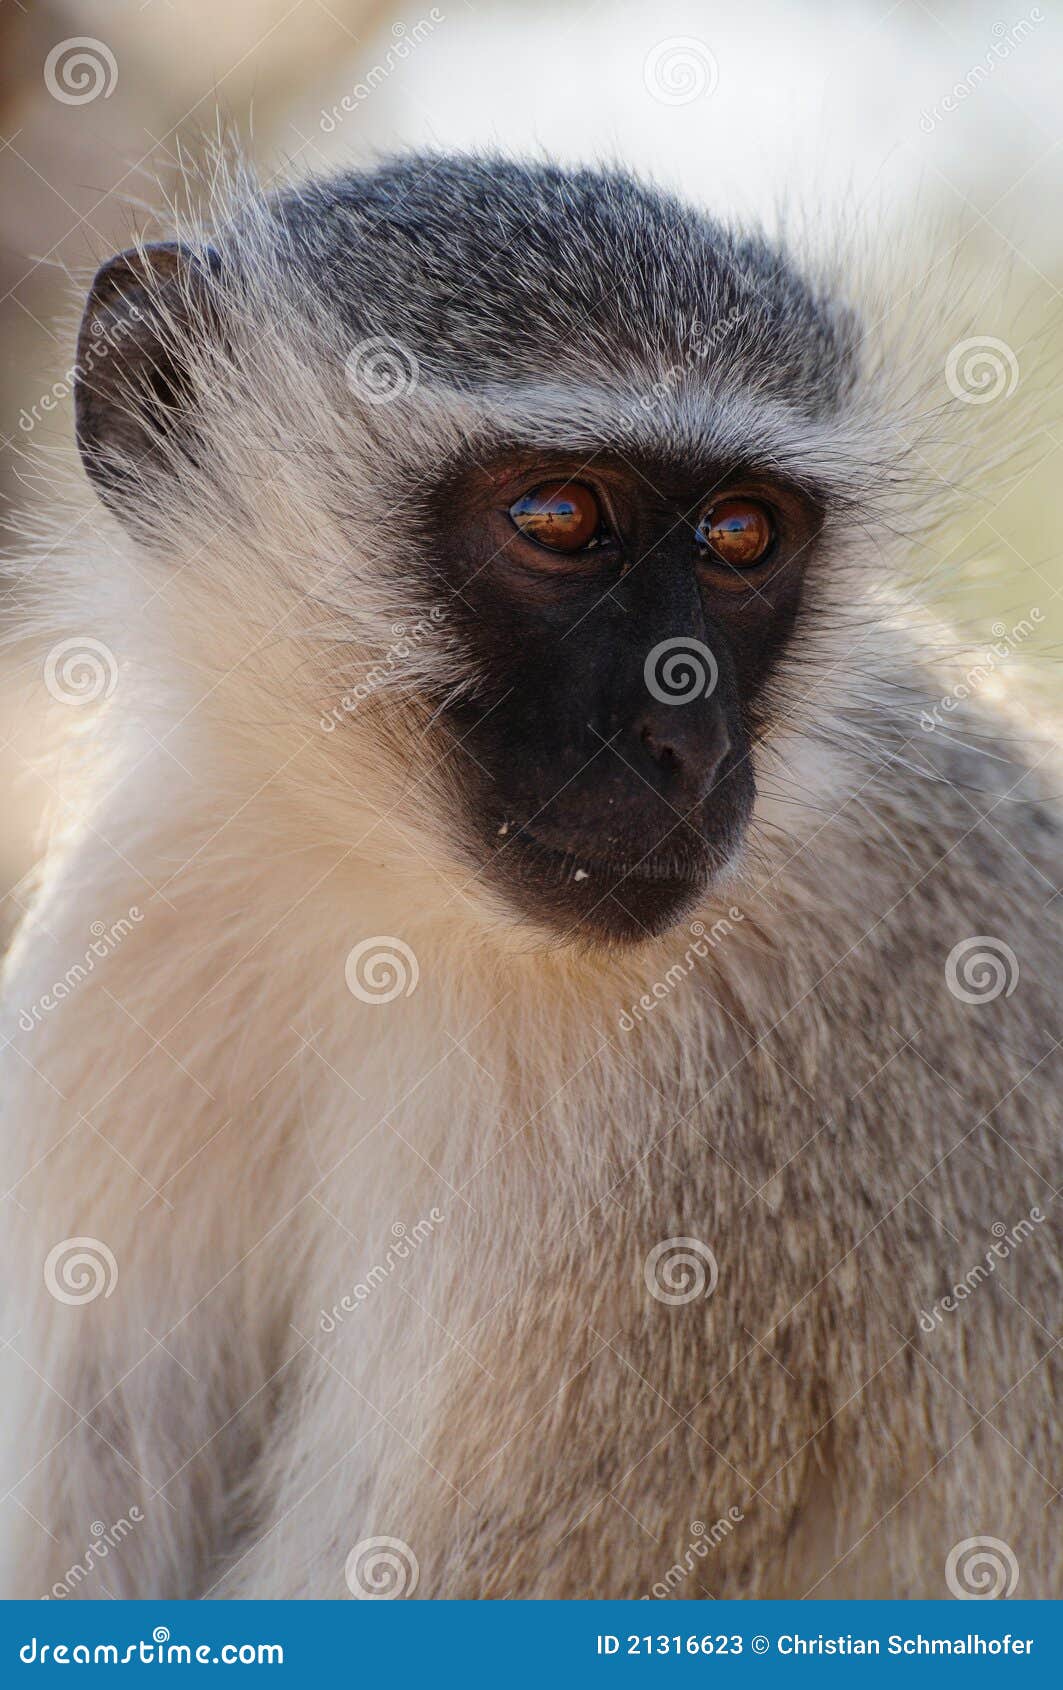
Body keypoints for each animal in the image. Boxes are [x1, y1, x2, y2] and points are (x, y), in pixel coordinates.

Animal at [0, 152, 1059, 1602]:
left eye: (741, 534)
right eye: (558, 517)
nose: (690, 739)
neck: (382, 897)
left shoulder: (676, 1167)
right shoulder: (133, 919)